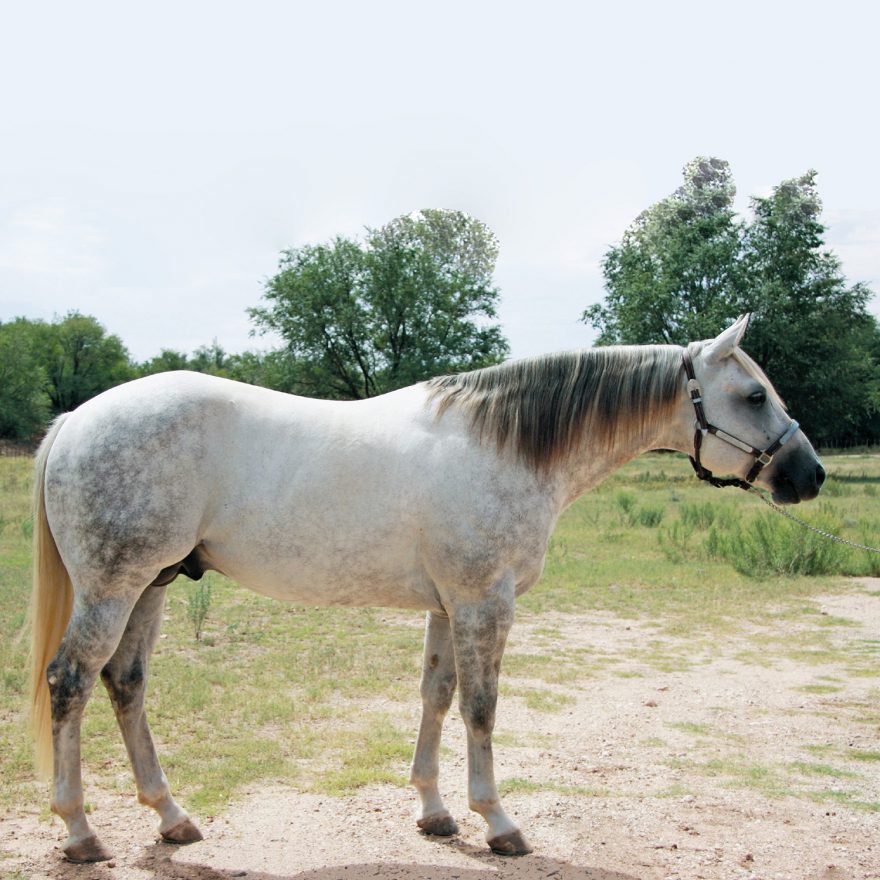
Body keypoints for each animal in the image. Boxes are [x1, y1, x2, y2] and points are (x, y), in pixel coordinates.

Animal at [28, 315, 825, 862]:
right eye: (754, 394)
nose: (809, 475)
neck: (509, 445)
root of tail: (75, 421)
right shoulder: (484, 602)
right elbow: (481, 708)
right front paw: (498, 822)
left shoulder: (449, 606)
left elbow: (437, 698)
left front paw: (436, 813)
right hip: (113, 587)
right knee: (70, 682)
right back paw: (81, 832)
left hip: (152, 585)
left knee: (125, 684)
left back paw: (171, 817)